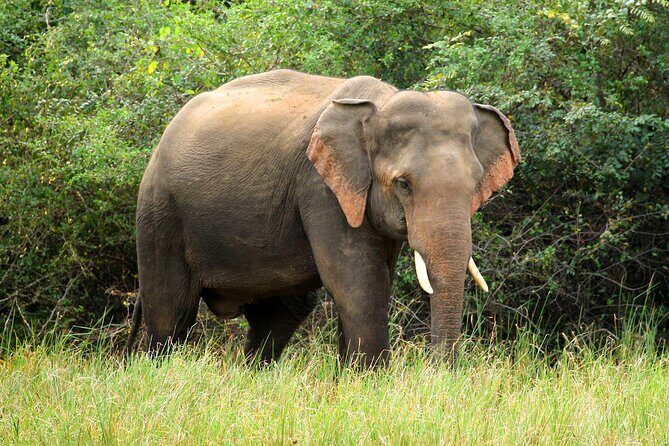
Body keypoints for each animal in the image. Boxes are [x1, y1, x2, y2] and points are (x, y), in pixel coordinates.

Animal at [125, 69, 520, 366]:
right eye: (403, 184)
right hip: (160, 212)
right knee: (170, 315)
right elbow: (360, 283)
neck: (379, 104)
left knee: (280, 315)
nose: (440, 376)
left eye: (476, 184)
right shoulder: (321, 188)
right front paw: (370, 385)